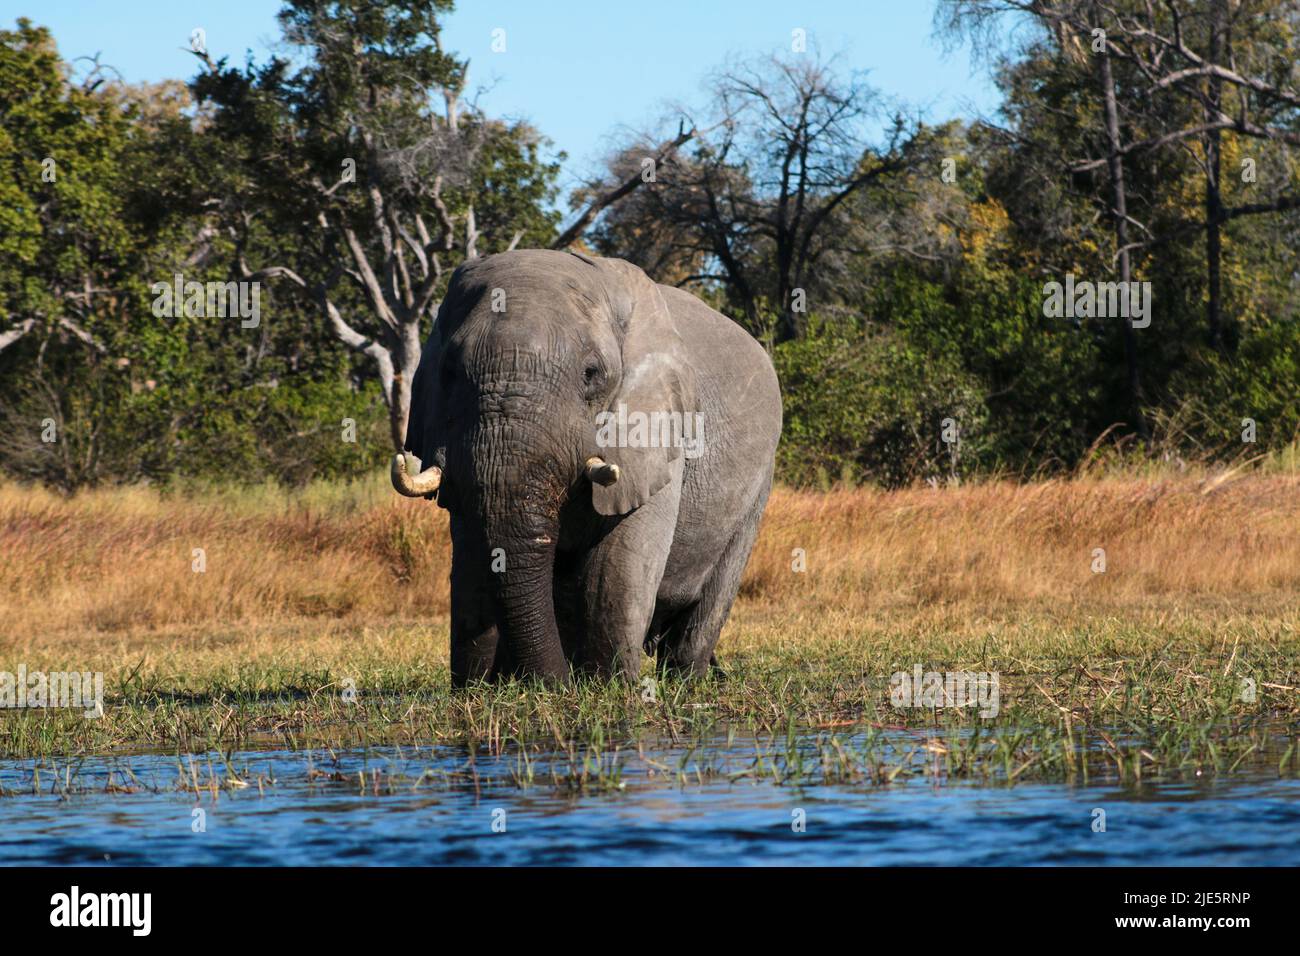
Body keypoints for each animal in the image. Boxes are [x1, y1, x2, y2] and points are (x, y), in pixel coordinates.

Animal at [392, 248, 782, 686]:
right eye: (449, 373)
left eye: (591, 374)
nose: (548, 683)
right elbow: (474, 554)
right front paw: (477, 687)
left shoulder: (659, 431)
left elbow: (616, 562)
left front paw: (609, 686)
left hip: (759, 485)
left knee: (712, 598)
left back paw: (686, 678)